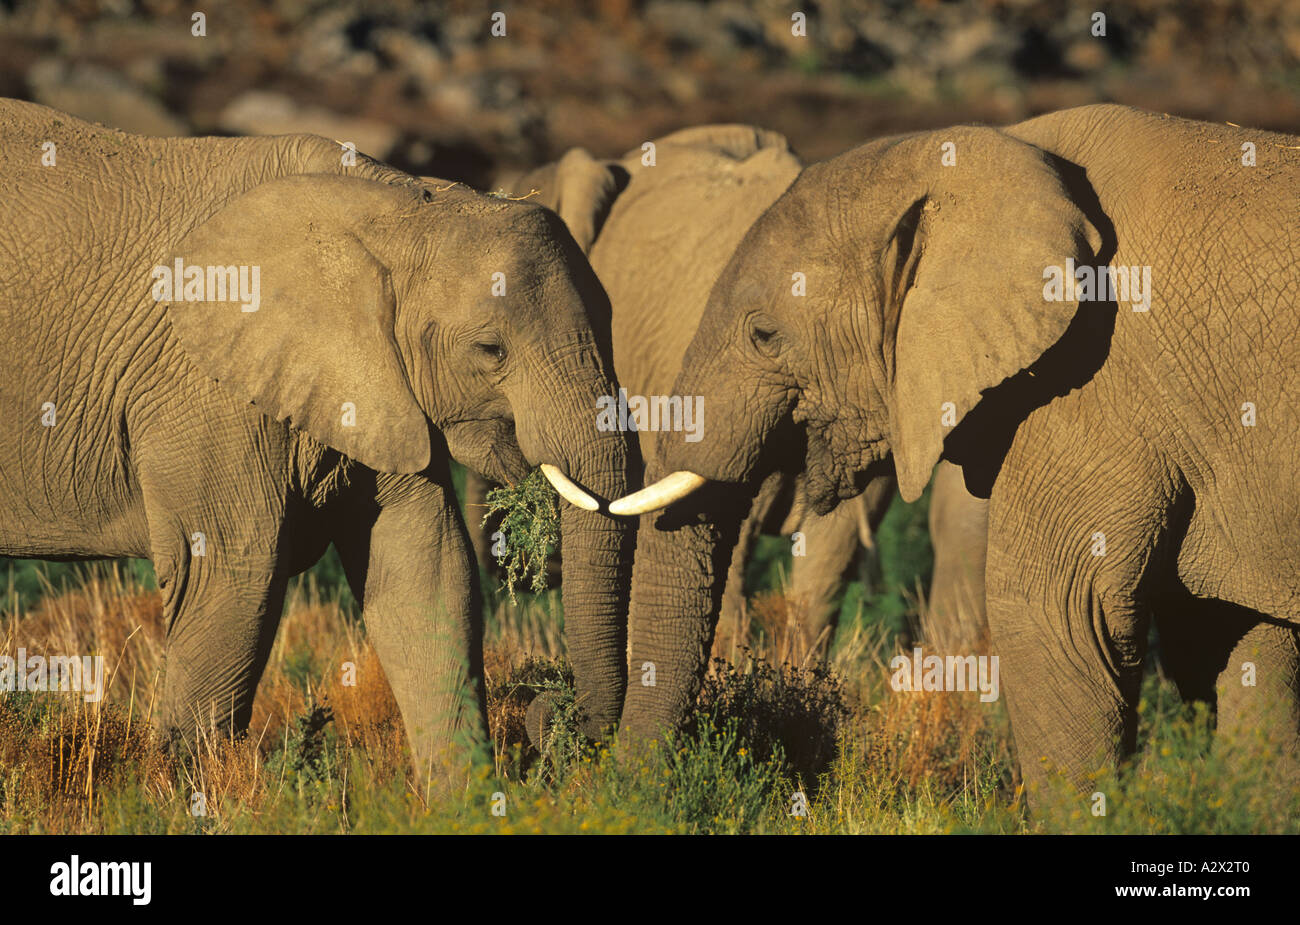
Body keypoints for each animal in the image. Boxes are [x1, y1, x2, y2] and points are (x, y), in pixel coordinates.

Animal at [0, 98, 634, 777]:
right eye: (491, 351)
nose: (549, 708)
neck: (406, 207)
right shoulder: (203, 389)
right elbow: (231, 575)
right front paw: (189, 791)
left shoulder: (377, 381)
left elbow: (428, 572)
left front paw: (465, 796)